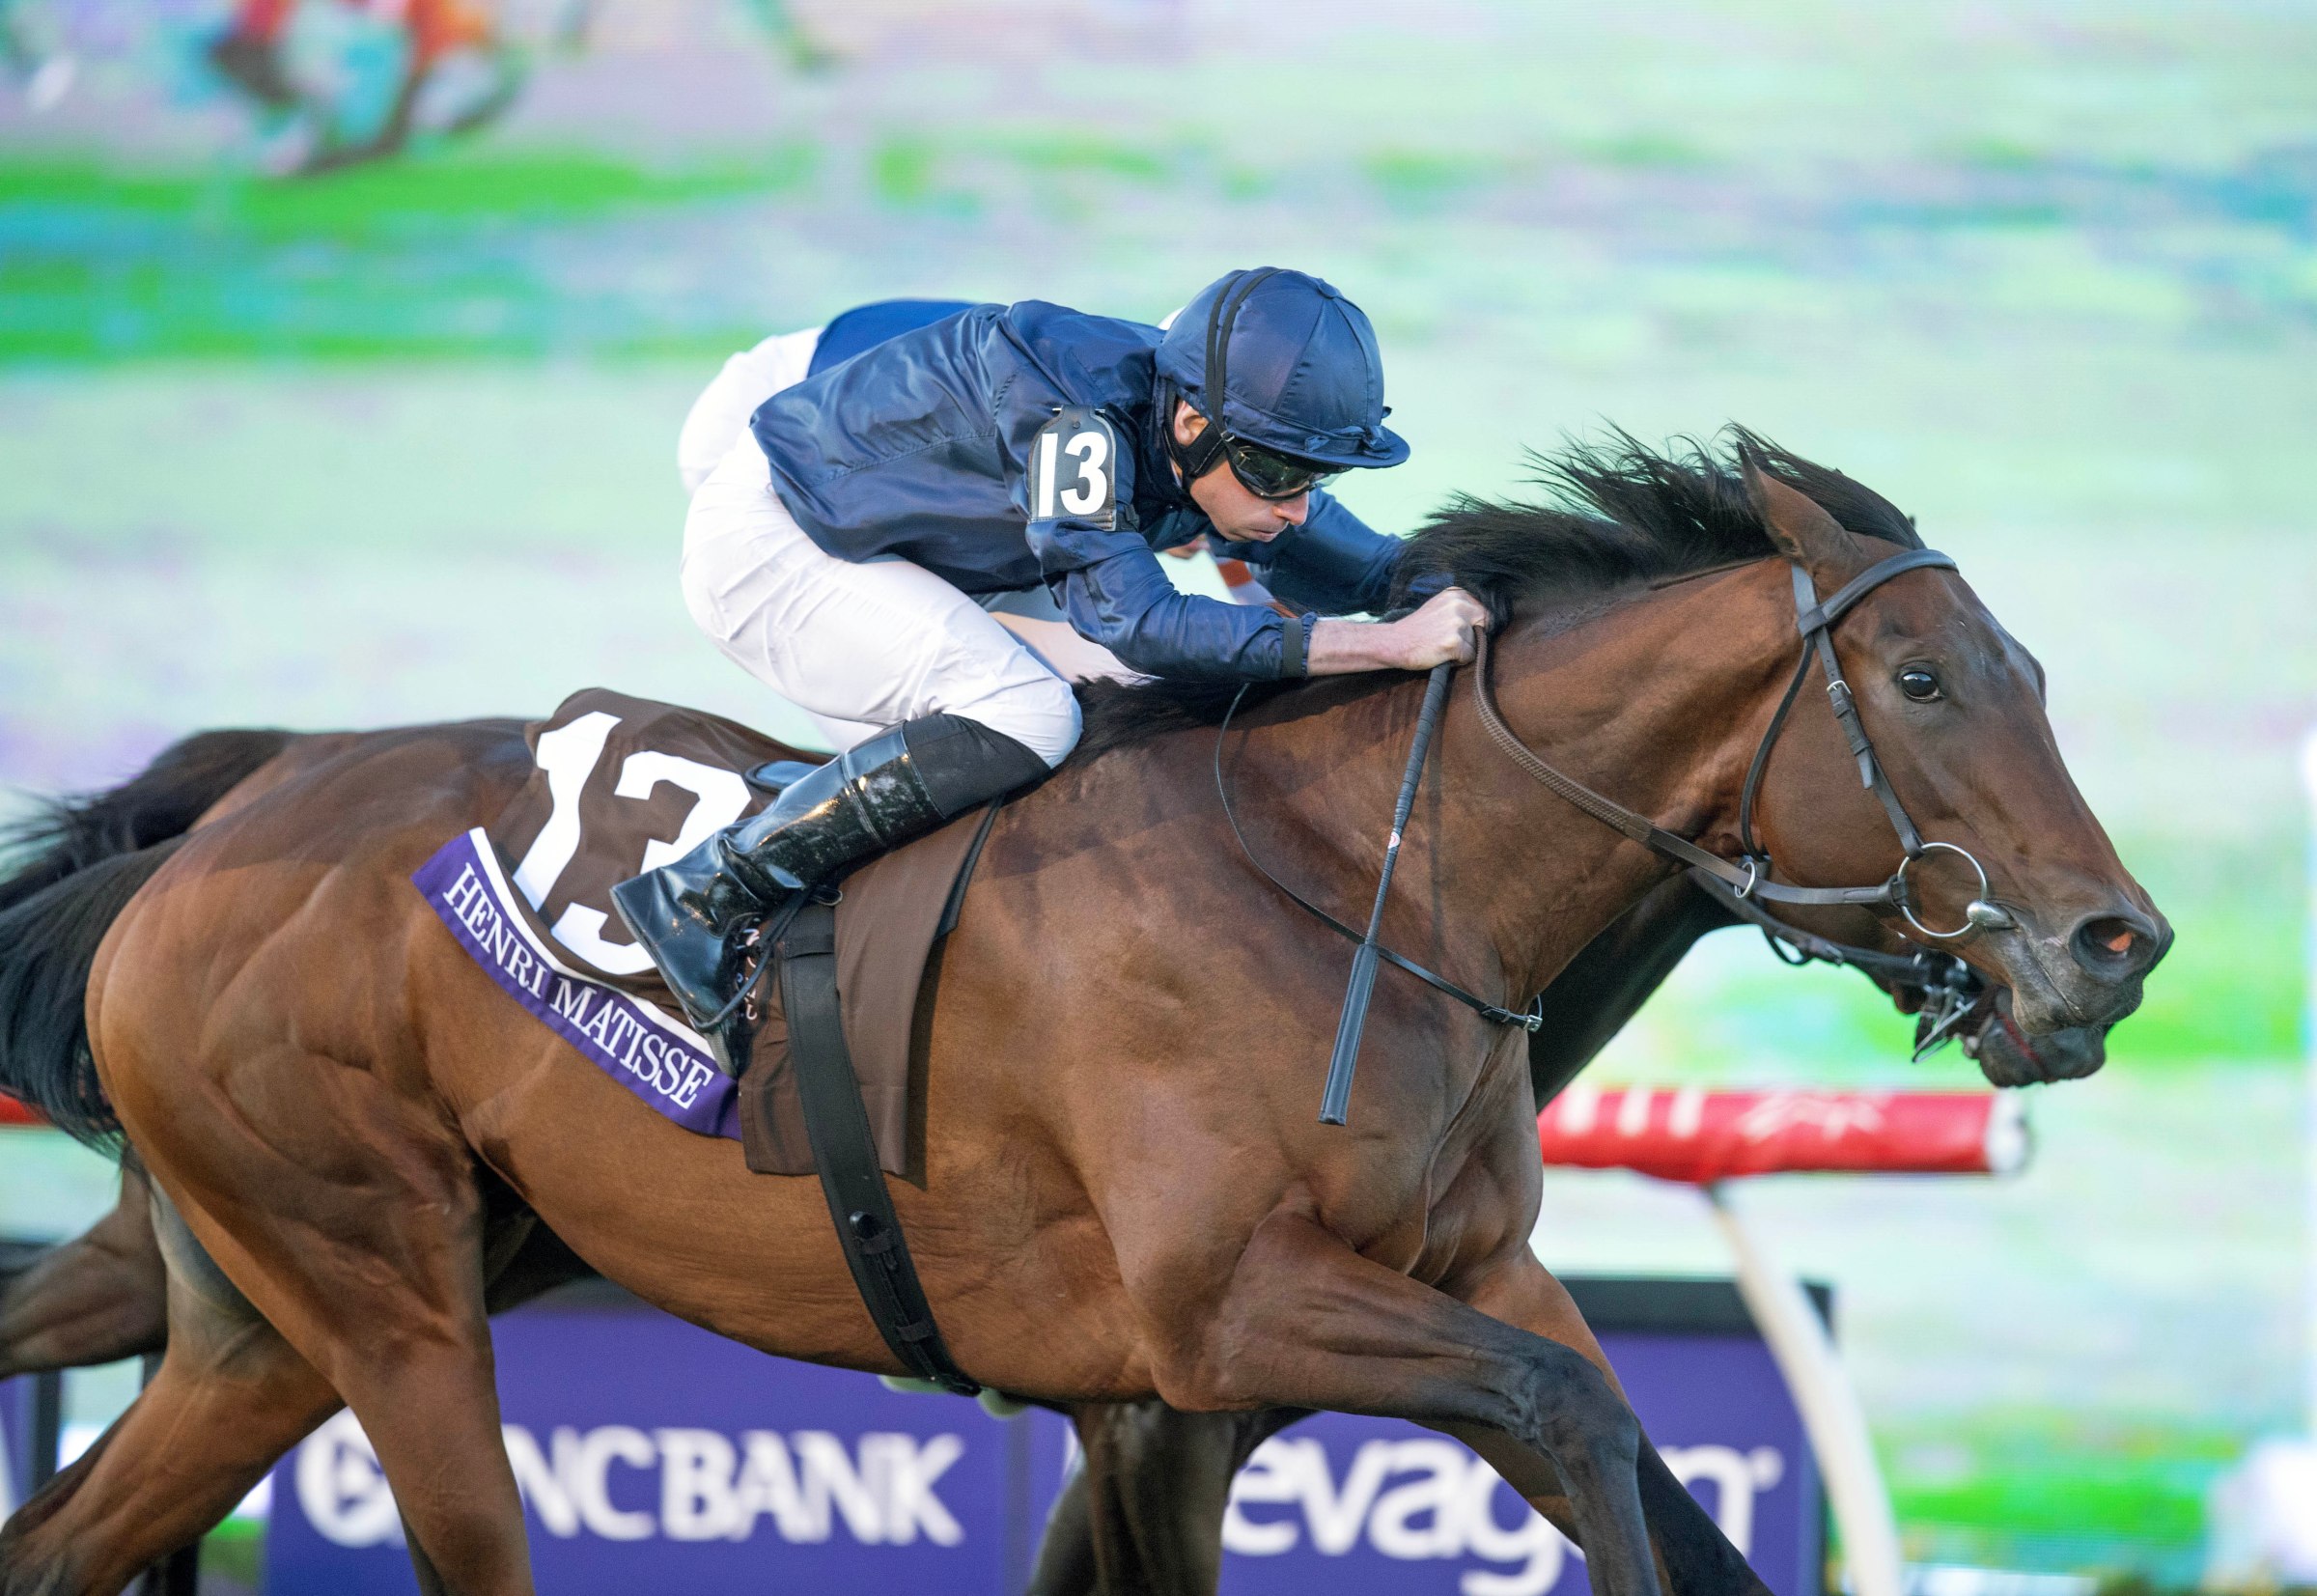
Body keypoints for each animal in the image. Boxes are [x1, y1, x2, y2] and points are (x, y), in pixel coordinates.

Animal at [0, 435, 2164, 1596]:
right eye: (1923, 678)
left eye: (2036, 669)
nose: (2113, 945)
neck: (1377, 890)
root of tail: (235, 813)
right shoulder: (1205, 1333)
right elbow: (1572, 1419)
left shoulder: (1418, 1299)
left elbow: (1626, 1448)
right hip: (388, 1293)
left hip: (263, 1309)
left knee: (61, 1533)